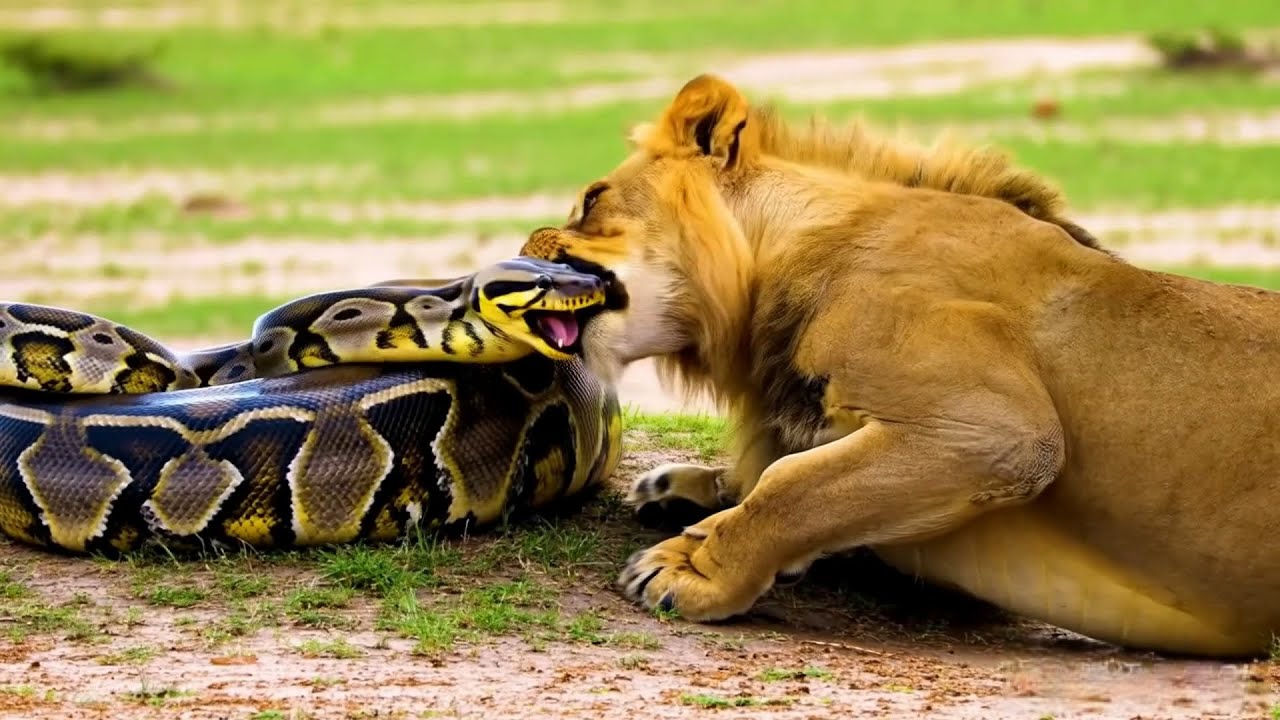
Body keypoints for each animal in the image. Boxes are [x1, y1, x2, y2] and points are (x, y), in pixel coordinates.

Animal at [519, 73, 1280, 658]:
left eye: (592, 200)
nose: (526, 244)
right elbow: (784, 471)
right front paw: (686, 490)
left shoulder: (1000, 430)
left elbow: (793, 486)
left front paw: (692, 567)